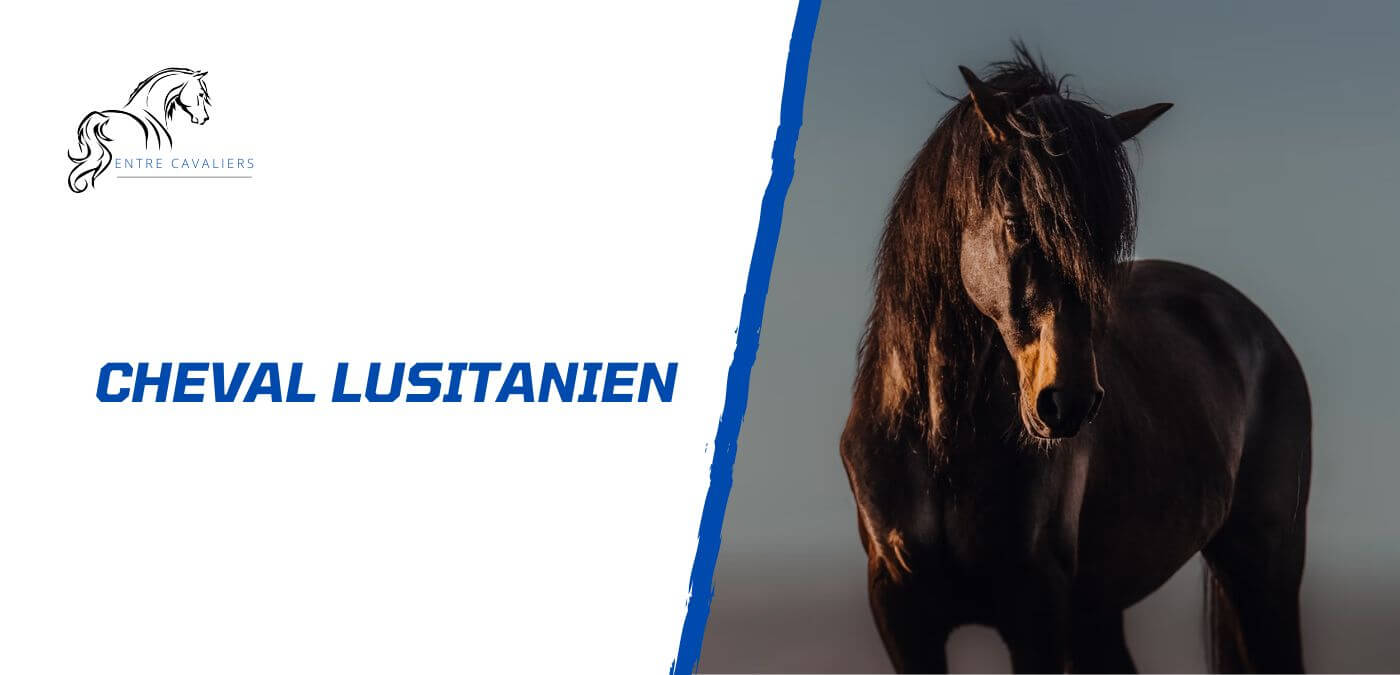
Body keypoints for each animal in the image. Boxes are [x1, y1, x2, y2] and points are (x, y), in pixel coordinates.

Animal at [840, 46, 1310, 673]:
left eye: (1105, 243)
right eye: (1018, 223)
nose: (1069, 402)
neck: (939, 442)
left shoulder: (1036, 608)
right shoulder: (902, 612)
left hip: (1264, 571)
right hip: (1099, 610)